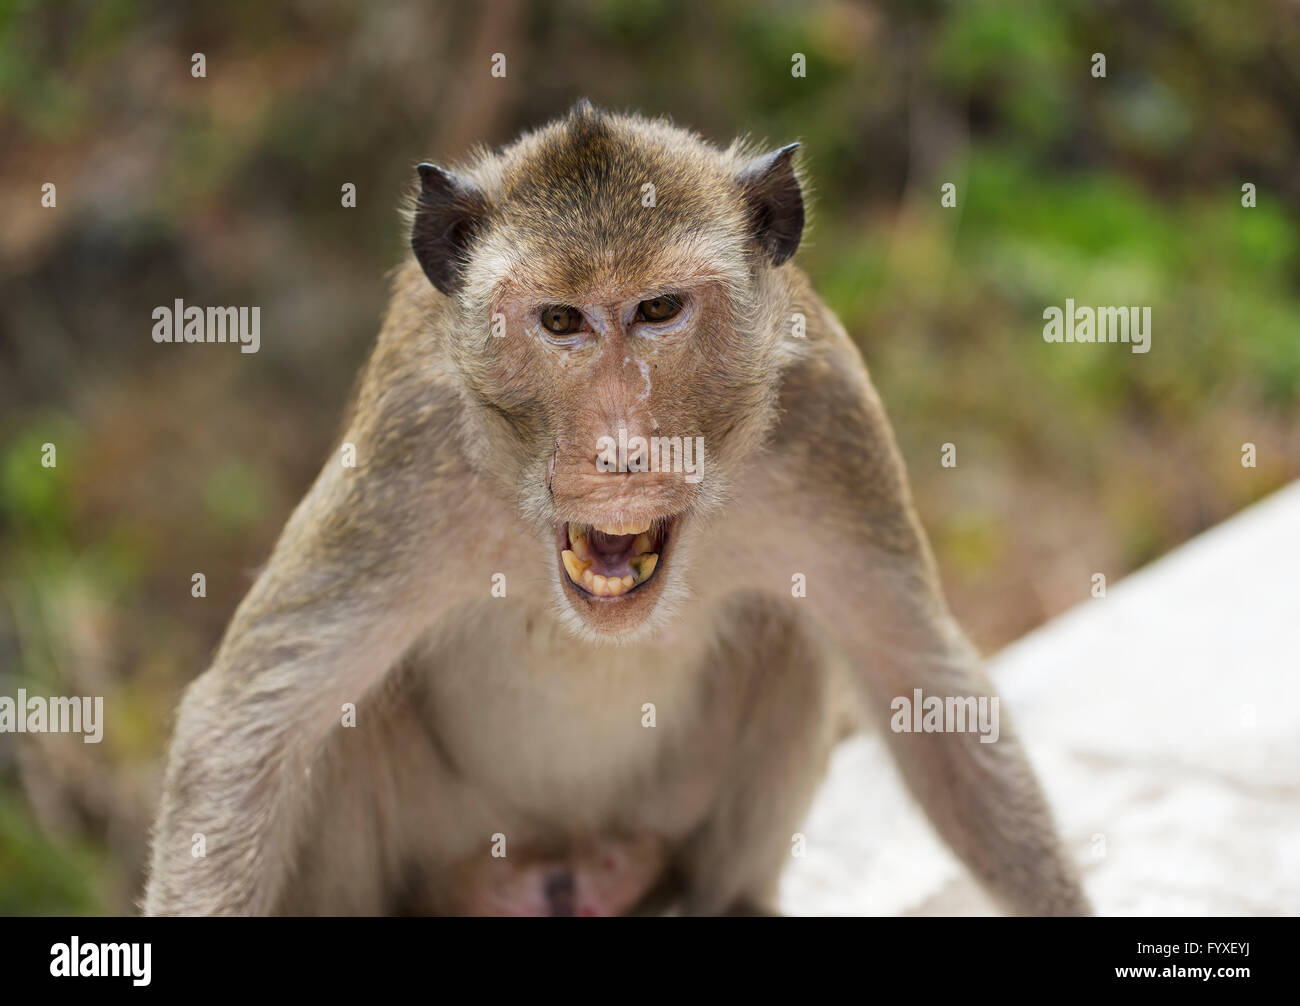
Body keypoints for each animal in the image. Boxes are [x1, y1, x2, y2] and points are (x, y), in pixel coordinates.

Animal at [144, 100, 1090, 917]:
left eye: (659, 309)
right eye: (561, 321)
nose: (621, 448)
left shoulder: (830, 422)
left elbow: (922, 686)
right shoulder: (403, 458)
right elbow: (249, 726)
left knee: (785, 633)